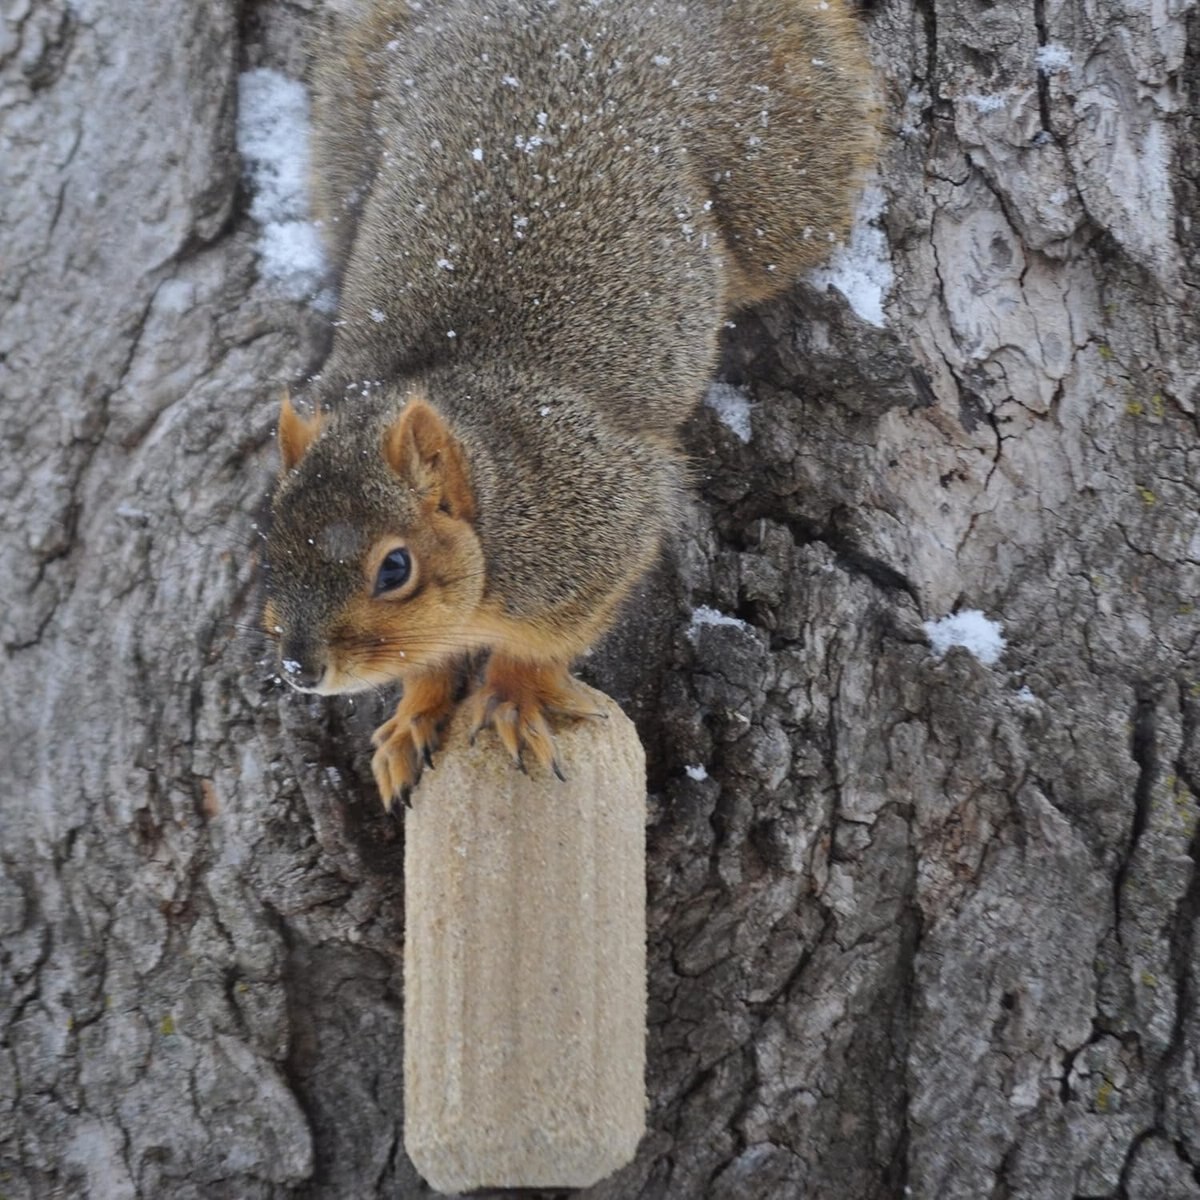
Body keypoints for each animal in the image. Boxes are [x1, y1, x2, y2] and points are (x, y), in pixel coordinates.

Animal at [264, 0, 877, 810]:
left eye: (394, 569)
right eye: (267, 548)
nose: (300, 669)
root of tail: (585, 21)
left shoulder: (602, 522)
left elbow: (544, 642)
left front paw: (515, 696)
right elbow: (427, 665)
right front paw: (415, 716)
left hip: (779, 163)